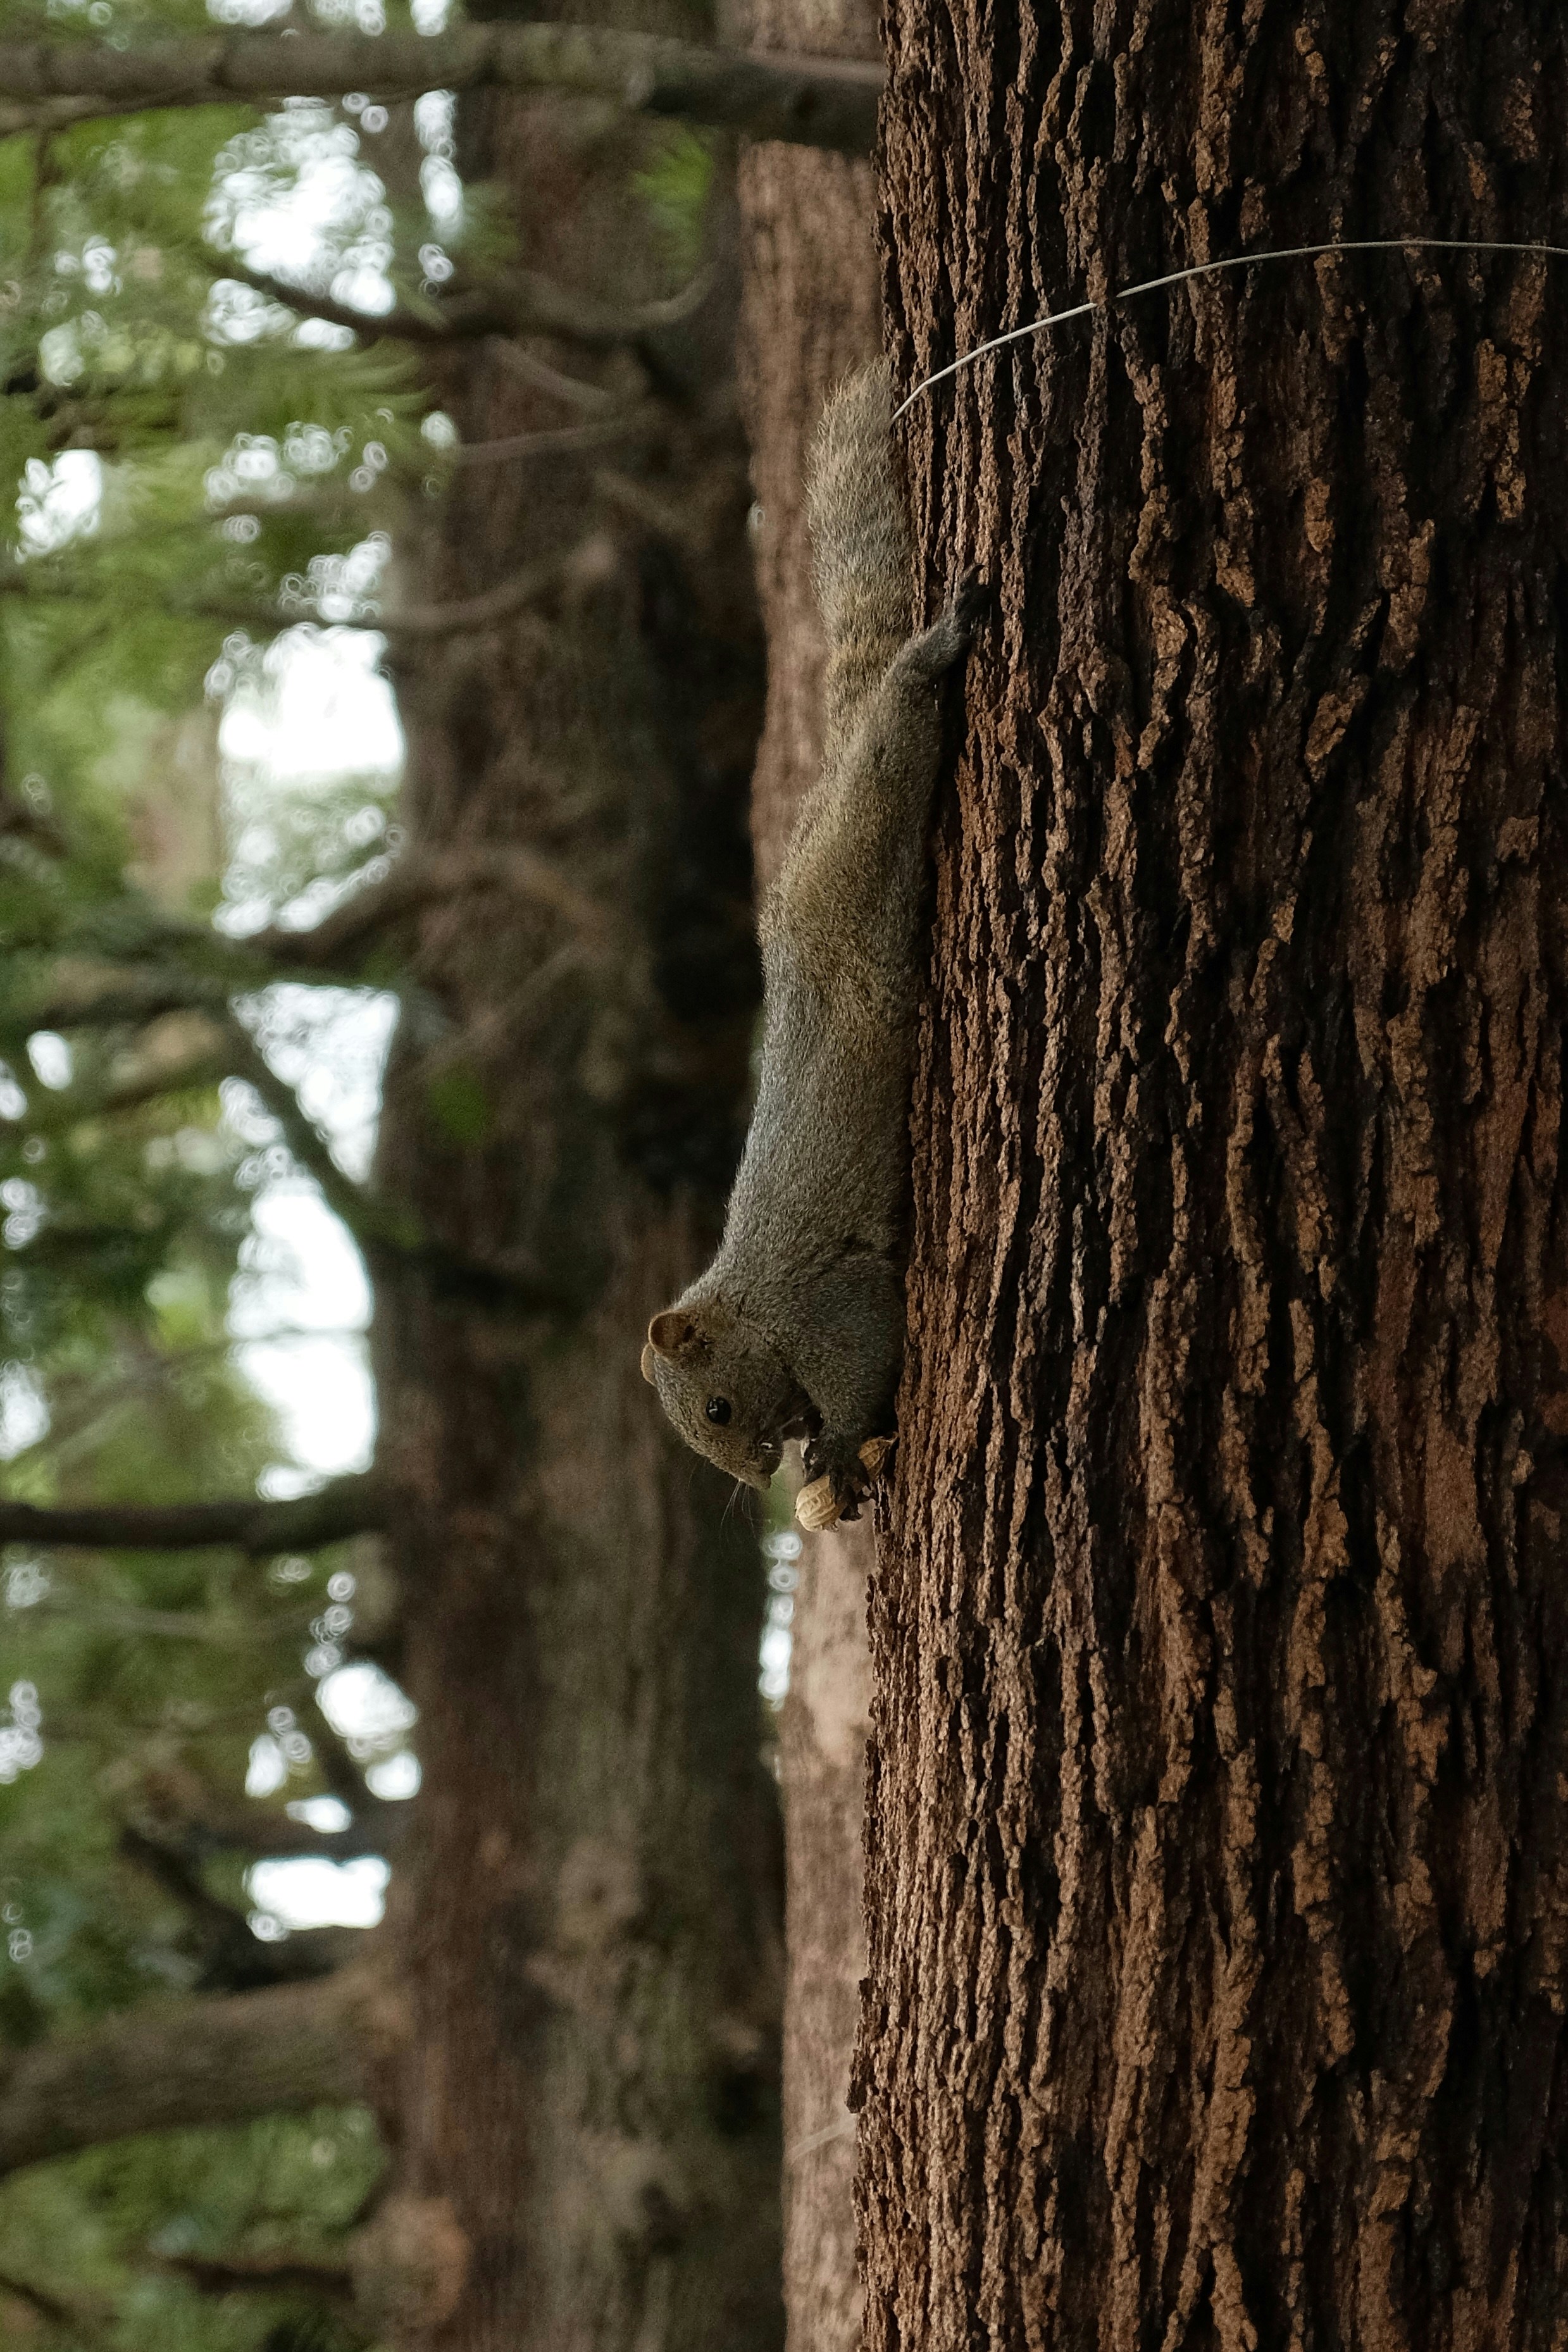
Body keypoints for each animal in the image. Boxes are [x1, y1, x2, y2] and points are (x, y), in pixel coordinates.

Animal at [641, 360, 984, 1525]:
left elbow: (869, 1350)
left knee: (893, 742)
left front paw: (838, 1442)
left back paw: (933, 653)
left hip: (859, 849)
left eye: (714, 1409)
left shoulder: (828, 1303)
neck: (750, 1305)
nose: (766, 1463)